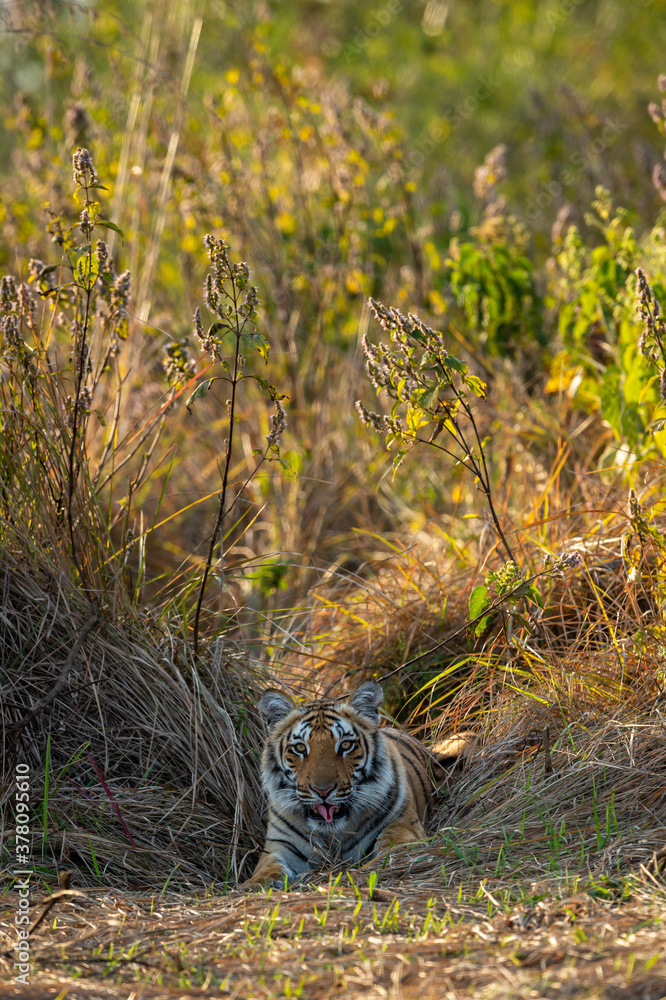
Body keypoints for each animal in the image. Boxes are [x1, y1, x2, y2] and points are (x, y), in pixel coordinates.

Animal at [244, 679, 468, 887]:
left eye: (345, 745)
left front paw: (394, 856)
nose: (322, 791)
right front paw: (258, 883)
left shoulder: (404, 821)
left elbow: (394, 837)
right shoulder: (279, 843)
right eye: (300, 748)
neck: (333, 834)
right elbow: (267, 866)